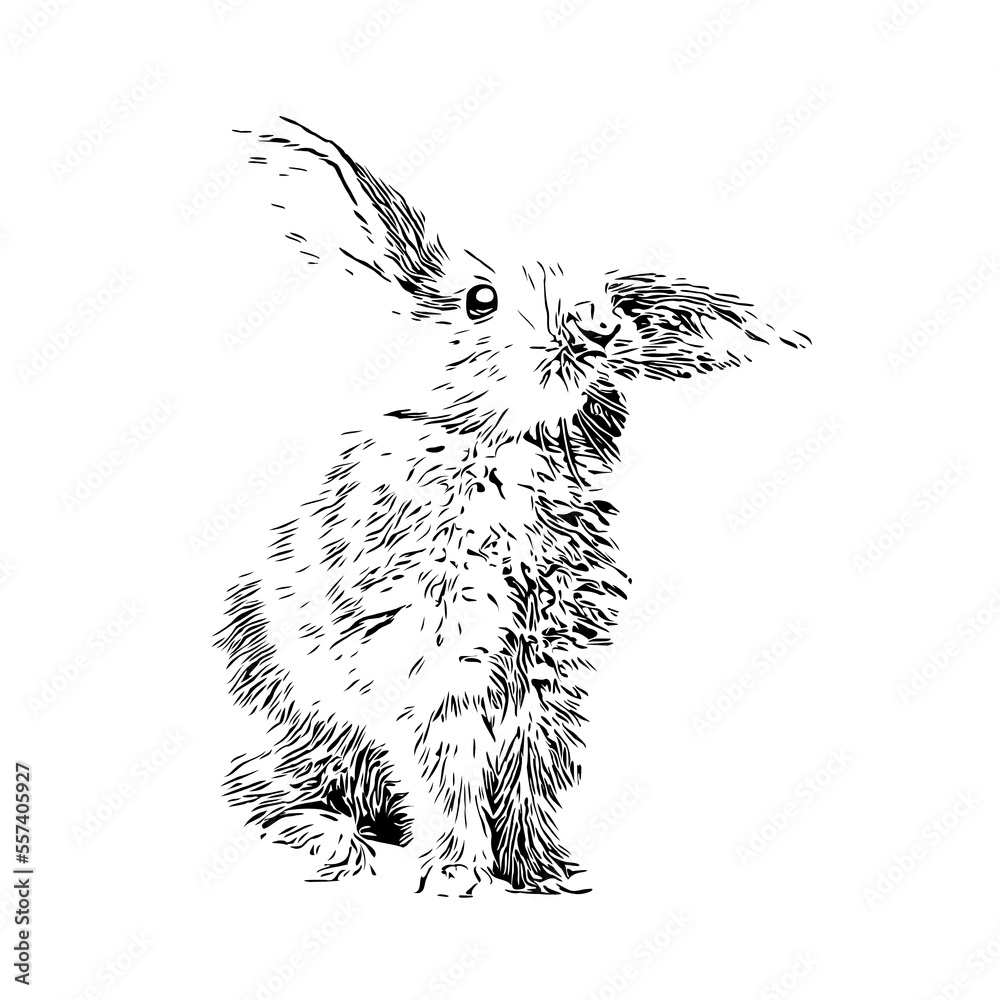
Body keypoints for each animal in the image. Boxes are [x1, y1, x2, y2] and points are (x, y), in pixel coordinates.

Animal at [216, 117, 811, 896]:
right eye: (480, 299)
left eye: (617, 305)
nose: (595, 329)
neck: (511, 452)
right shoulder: (439, 658)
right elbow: (450, 775)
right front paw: (457, 876)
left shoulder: (548, 671)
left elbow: (531, 773)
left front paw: (544, 871)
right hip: (304, 736)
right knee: (263, 795)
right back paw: (340, 846)